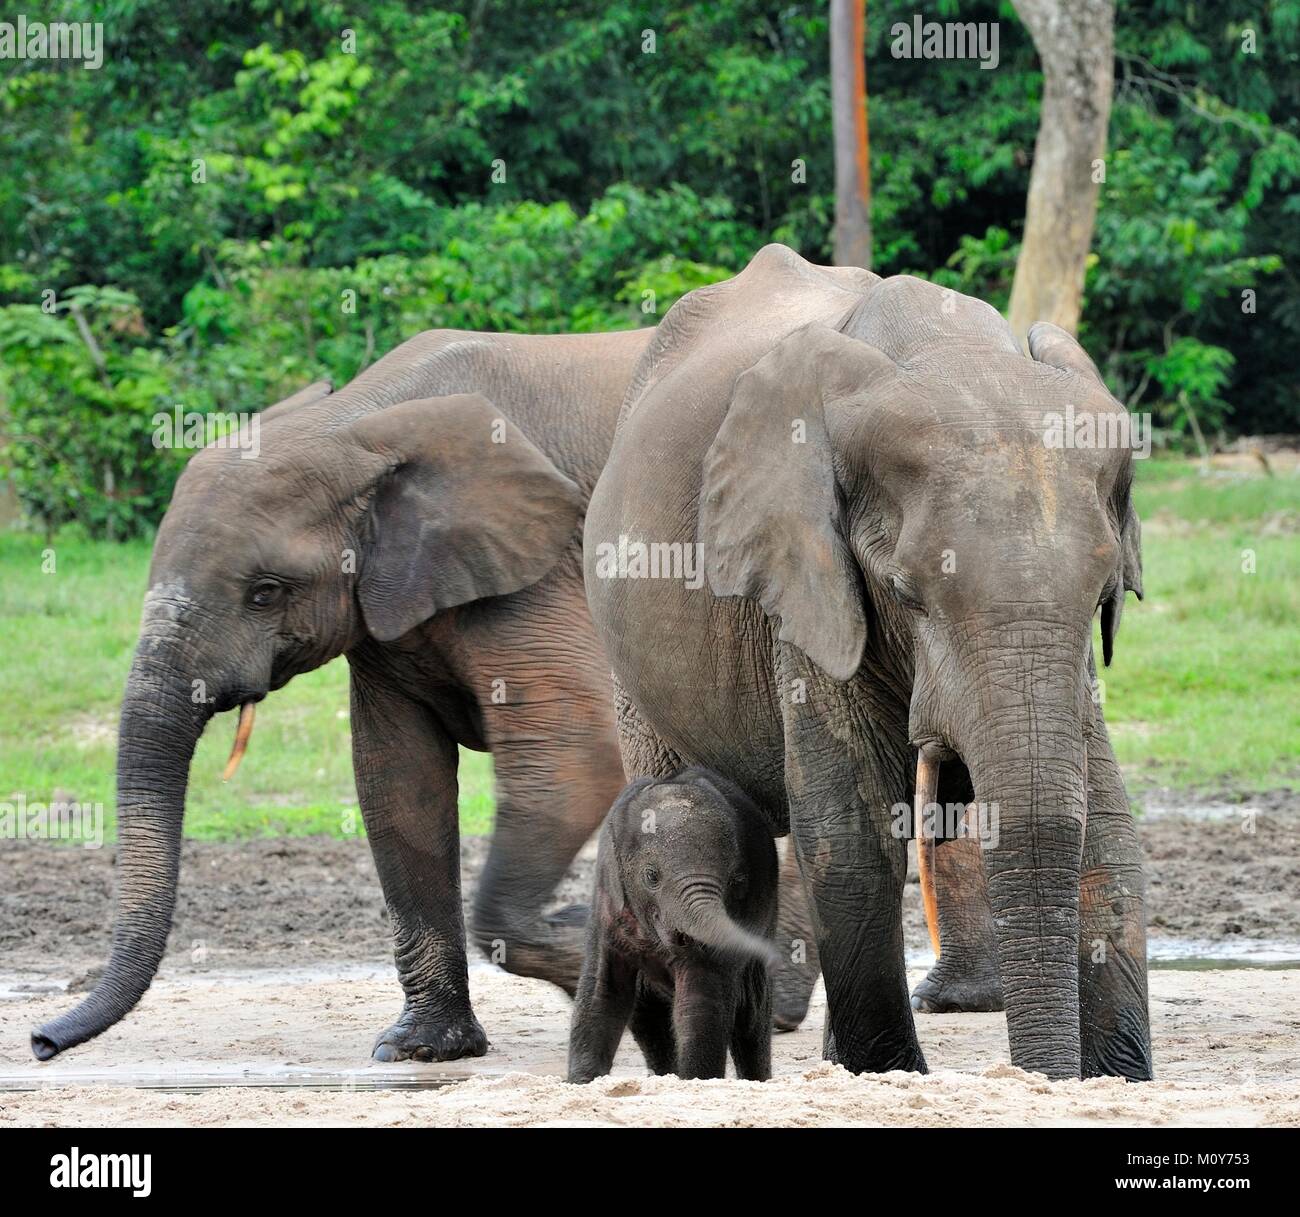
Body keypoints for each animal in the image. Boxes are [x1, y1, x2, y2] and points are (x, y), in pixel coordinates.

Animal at [32, 324, 654, 1064]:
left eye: (265, 592)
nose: (40, 1042)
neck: (356, 425)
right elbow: (397, 779)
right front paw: (422, 1048)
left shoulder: (542, 571)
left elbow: (572, 754)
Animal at [567, 768, 778, 1083]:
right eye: (651, 876)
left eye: (737, 881)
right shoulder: (607, 900)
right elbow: (602, 992)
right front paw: (582, 1082)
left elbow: (698, 1002)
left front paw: (696, 1082)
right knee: (648, 1019)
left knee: (751, 1019)